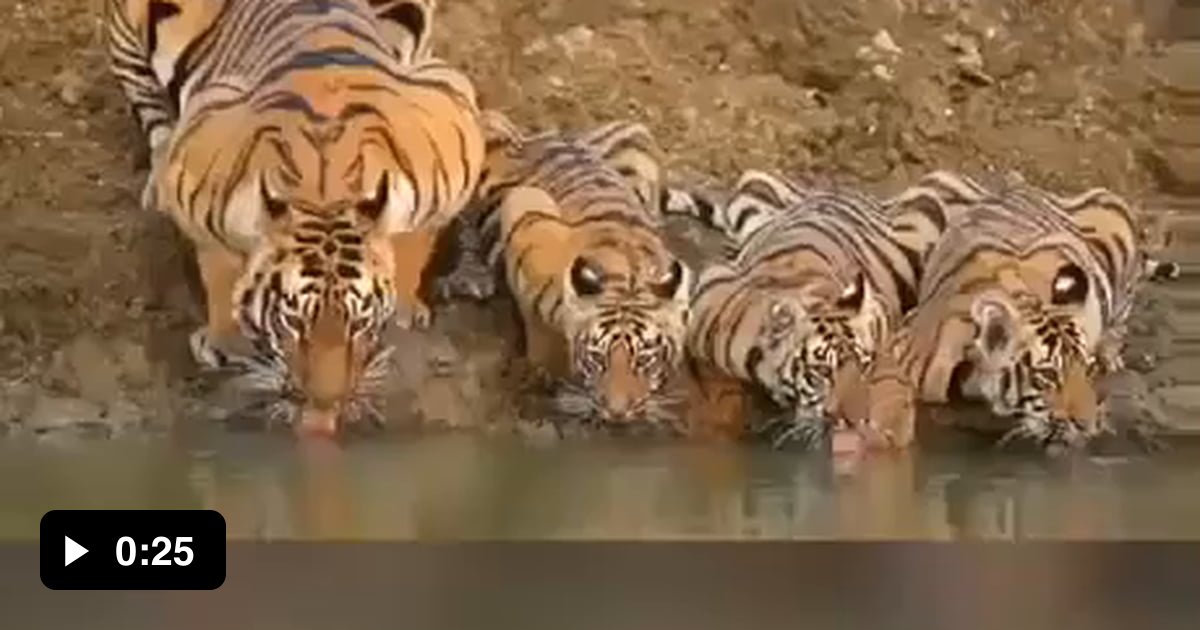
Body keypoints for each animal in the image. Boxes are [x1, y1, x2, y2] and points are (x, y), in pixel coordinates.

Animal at [104, 0, 485, 436]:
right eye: (292, 322)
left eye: (359, 323)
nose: (326, 404)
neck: (326, 191)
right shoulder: (200, 154)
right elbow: (218, 264)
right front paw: (225, 343)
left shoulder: (453, 127)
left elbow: (417, 239)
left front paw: (404, 306)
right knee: (149, 106)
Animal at [468, 112, 693, 432]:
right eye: (598, 359)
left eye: (644, 360)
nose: (617, 413)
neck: (626, 275)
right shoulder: (526, 212)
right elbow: (534, 325)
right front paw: (539, 373)